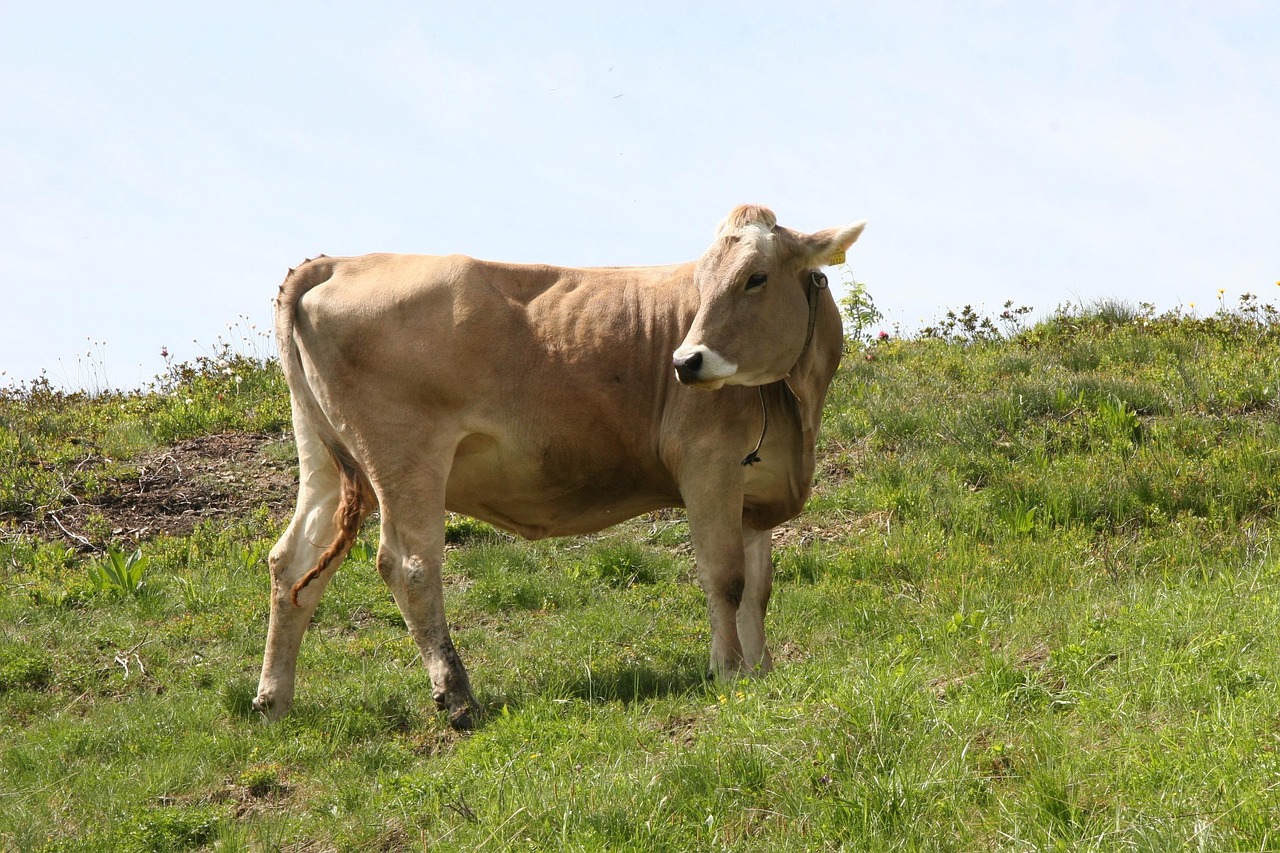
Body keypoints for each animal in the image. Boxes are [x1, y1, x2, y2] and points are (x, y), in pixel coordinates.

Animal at [253, 205, 866, 729]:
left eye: (756, 278)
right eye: (701, 283)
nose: (685, 361)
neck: (796, 412)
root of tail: (338, 261)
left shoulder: (756, 491)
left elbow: (760, 586)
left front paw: (762, 670)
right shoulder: (708, 466)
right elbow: (726, 577)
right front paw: (731, 671)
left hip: (324, 456)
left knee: (293, 560)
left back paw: (273, 699)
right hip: (404, 455)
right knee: (410, 566)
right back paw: (458, 697)